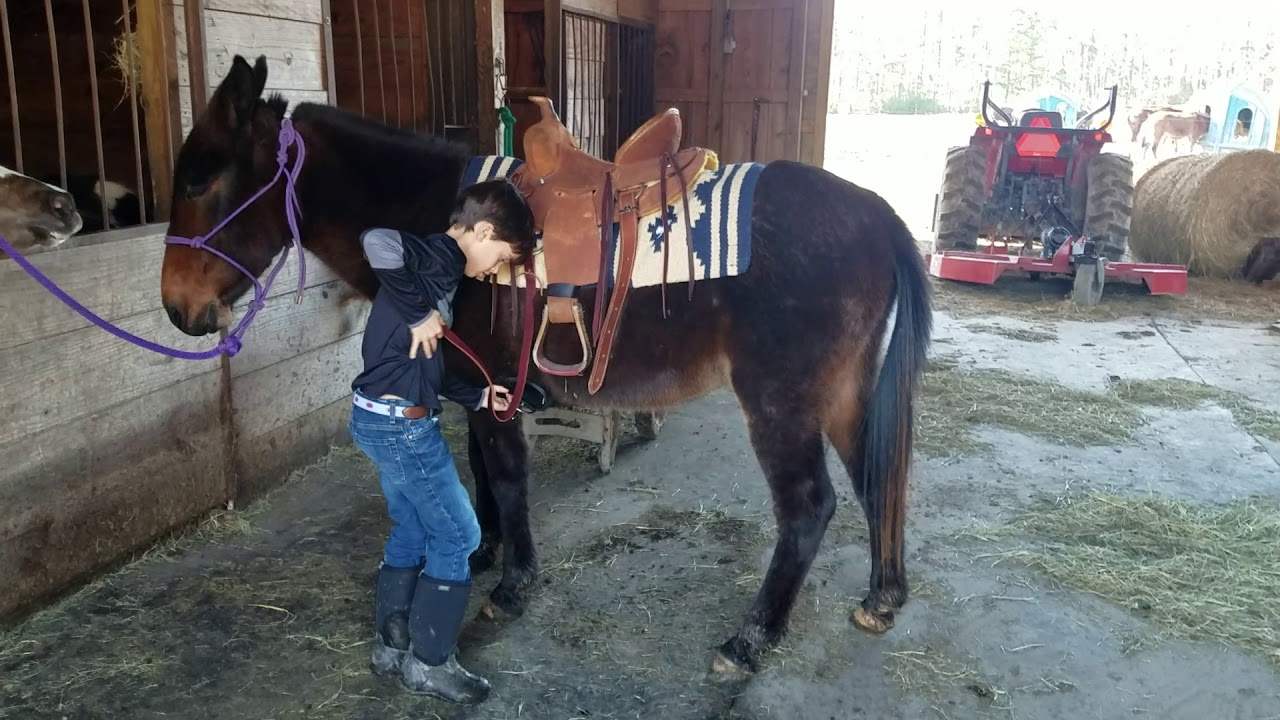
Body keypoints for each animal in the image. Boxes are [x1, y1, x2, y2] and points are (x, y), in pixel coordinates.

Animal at [158, 55, 933, 675]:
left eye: (200, 179)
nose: (176, 307)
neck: (434, 220)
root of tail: (875, 214)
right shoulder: (472, 387)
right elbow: (480, 473)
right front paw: (482, 553)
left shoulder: (495, 385)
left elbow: (505, 476)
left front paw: (512, 585)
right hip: (843, 397)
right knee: (877, 477)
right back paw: (883, 596)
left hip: (780, 405)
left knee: (809, 508)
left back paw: (750, 639)